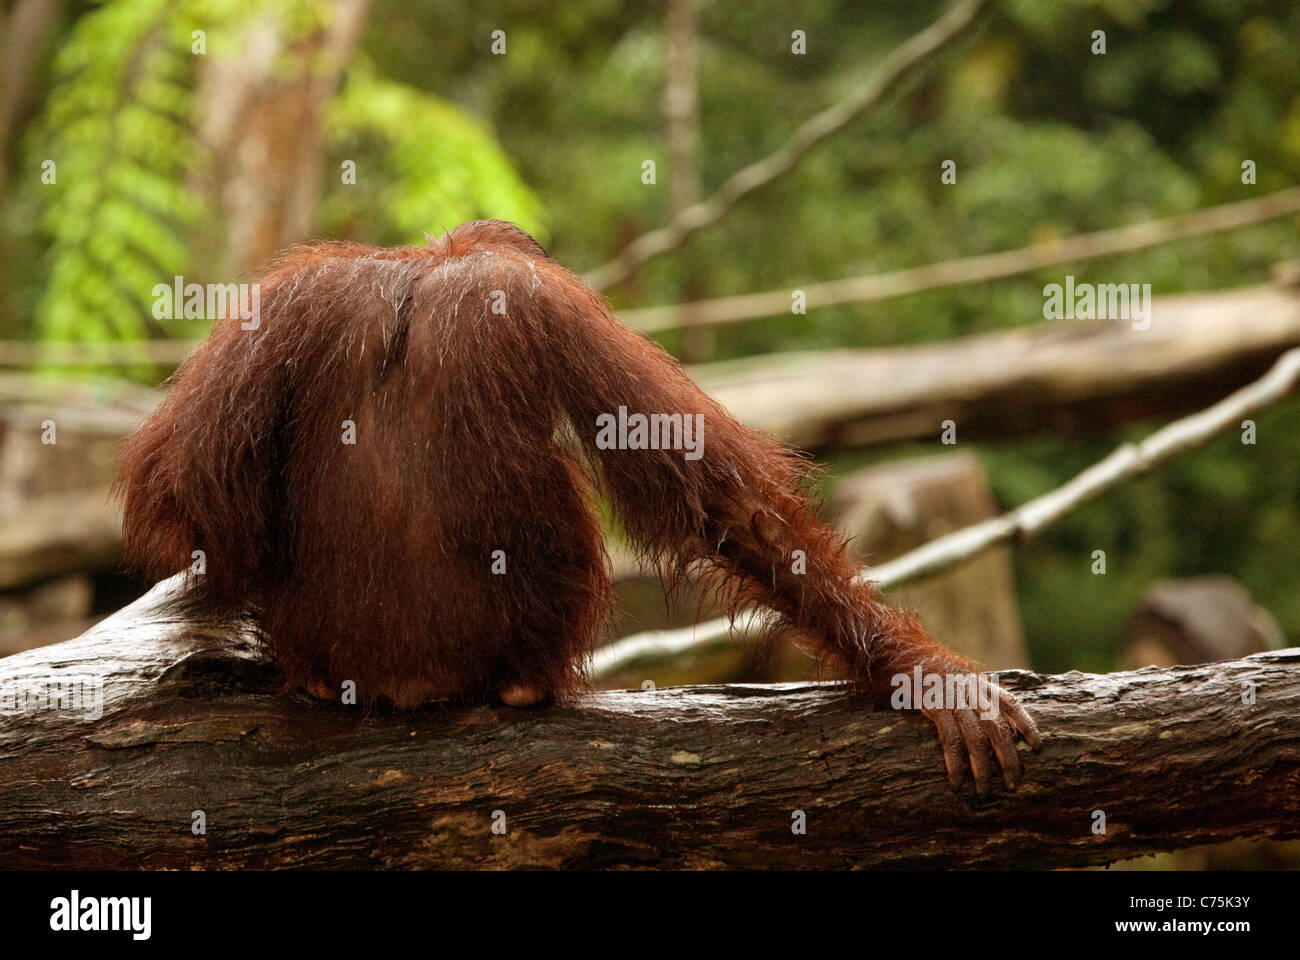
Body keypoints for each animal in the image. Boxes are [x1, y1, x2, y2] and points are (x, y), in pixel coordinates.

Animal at [118, 220, 1040, 793]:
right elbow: (721, 498)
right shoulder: (549, 299)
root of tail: (400, 683)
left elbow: (178, 480)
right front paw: (932, 675)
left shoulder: (296, 293)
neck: (427, 267)